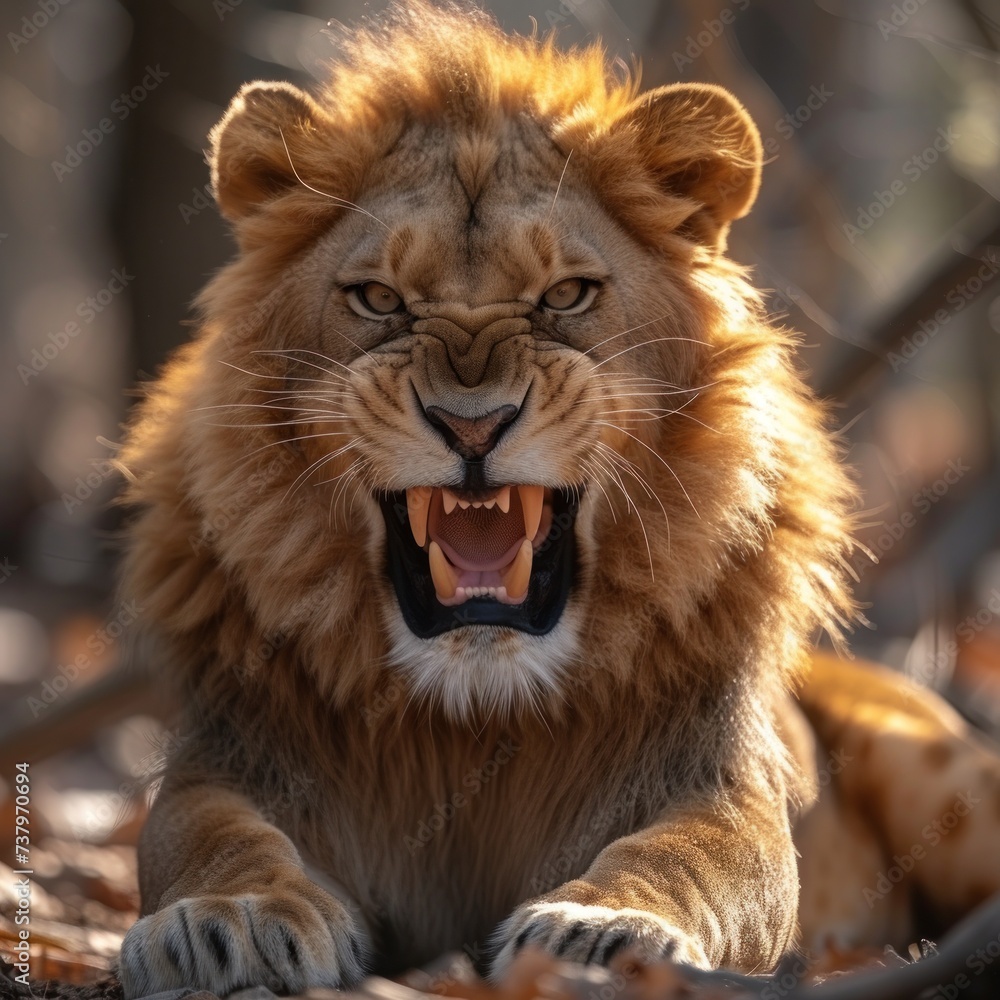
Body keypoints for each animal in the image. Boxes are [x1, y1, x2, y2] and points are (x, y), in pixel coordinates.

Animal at [114, 3, 1000, 996]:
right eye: (378, 298)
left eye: (567, 294)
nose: (472, 424)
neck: (473, 710)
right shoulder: (225, 759)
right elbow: (210, 838)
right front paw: (231, 920)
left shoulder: (721, 789)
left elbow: (689, 858)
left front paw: (603, 926)